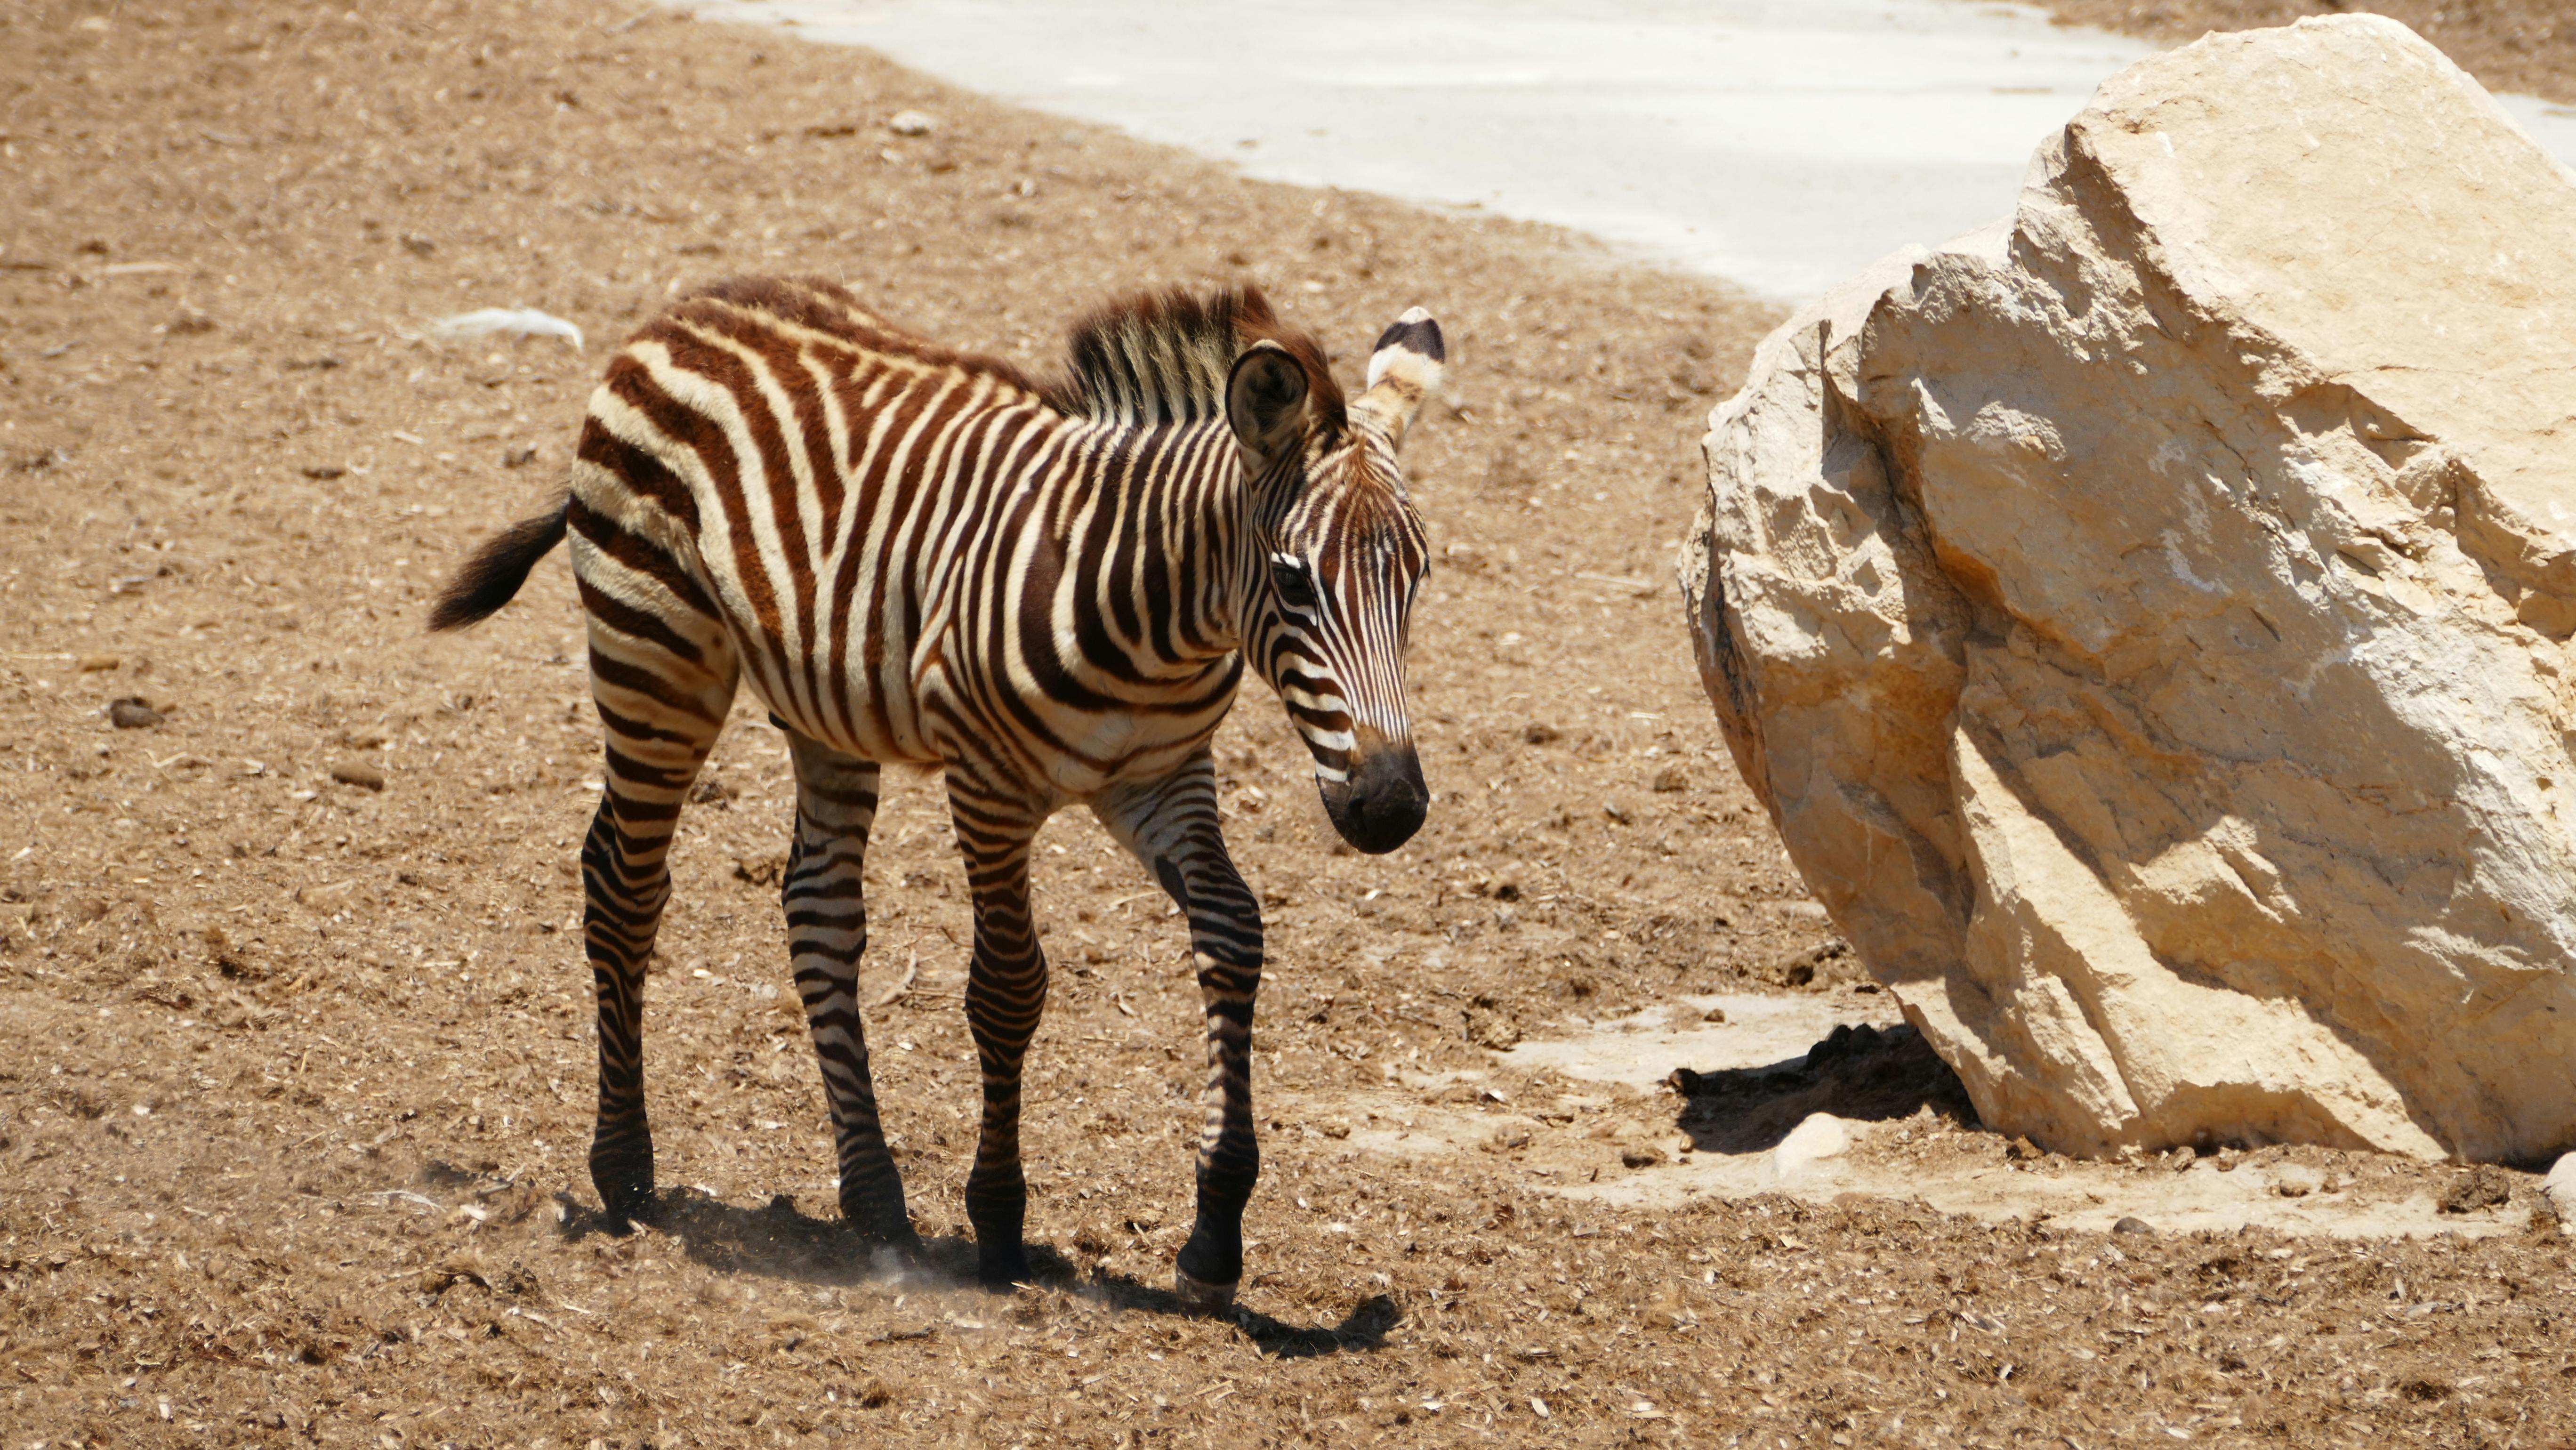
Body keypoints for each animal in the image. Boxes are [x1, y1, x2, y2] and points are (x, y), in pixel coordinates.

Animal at [427, 277, 1446, 1308]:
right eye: (1293, 580)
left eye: (1420, 574)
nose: (1390, 806)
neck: (1155, 612)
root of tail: (691, 307)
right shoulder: (988, 785)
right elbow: (1007, 986)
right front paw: (997, 1222)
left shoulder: (1162, 776)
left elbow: (1235, 934)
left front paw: (1214, 1230)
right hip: (657, 656)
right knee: (624, 885)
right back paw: (627, 1171)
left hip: (823, 705)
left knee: (819, 912)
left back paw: (875, 1199)